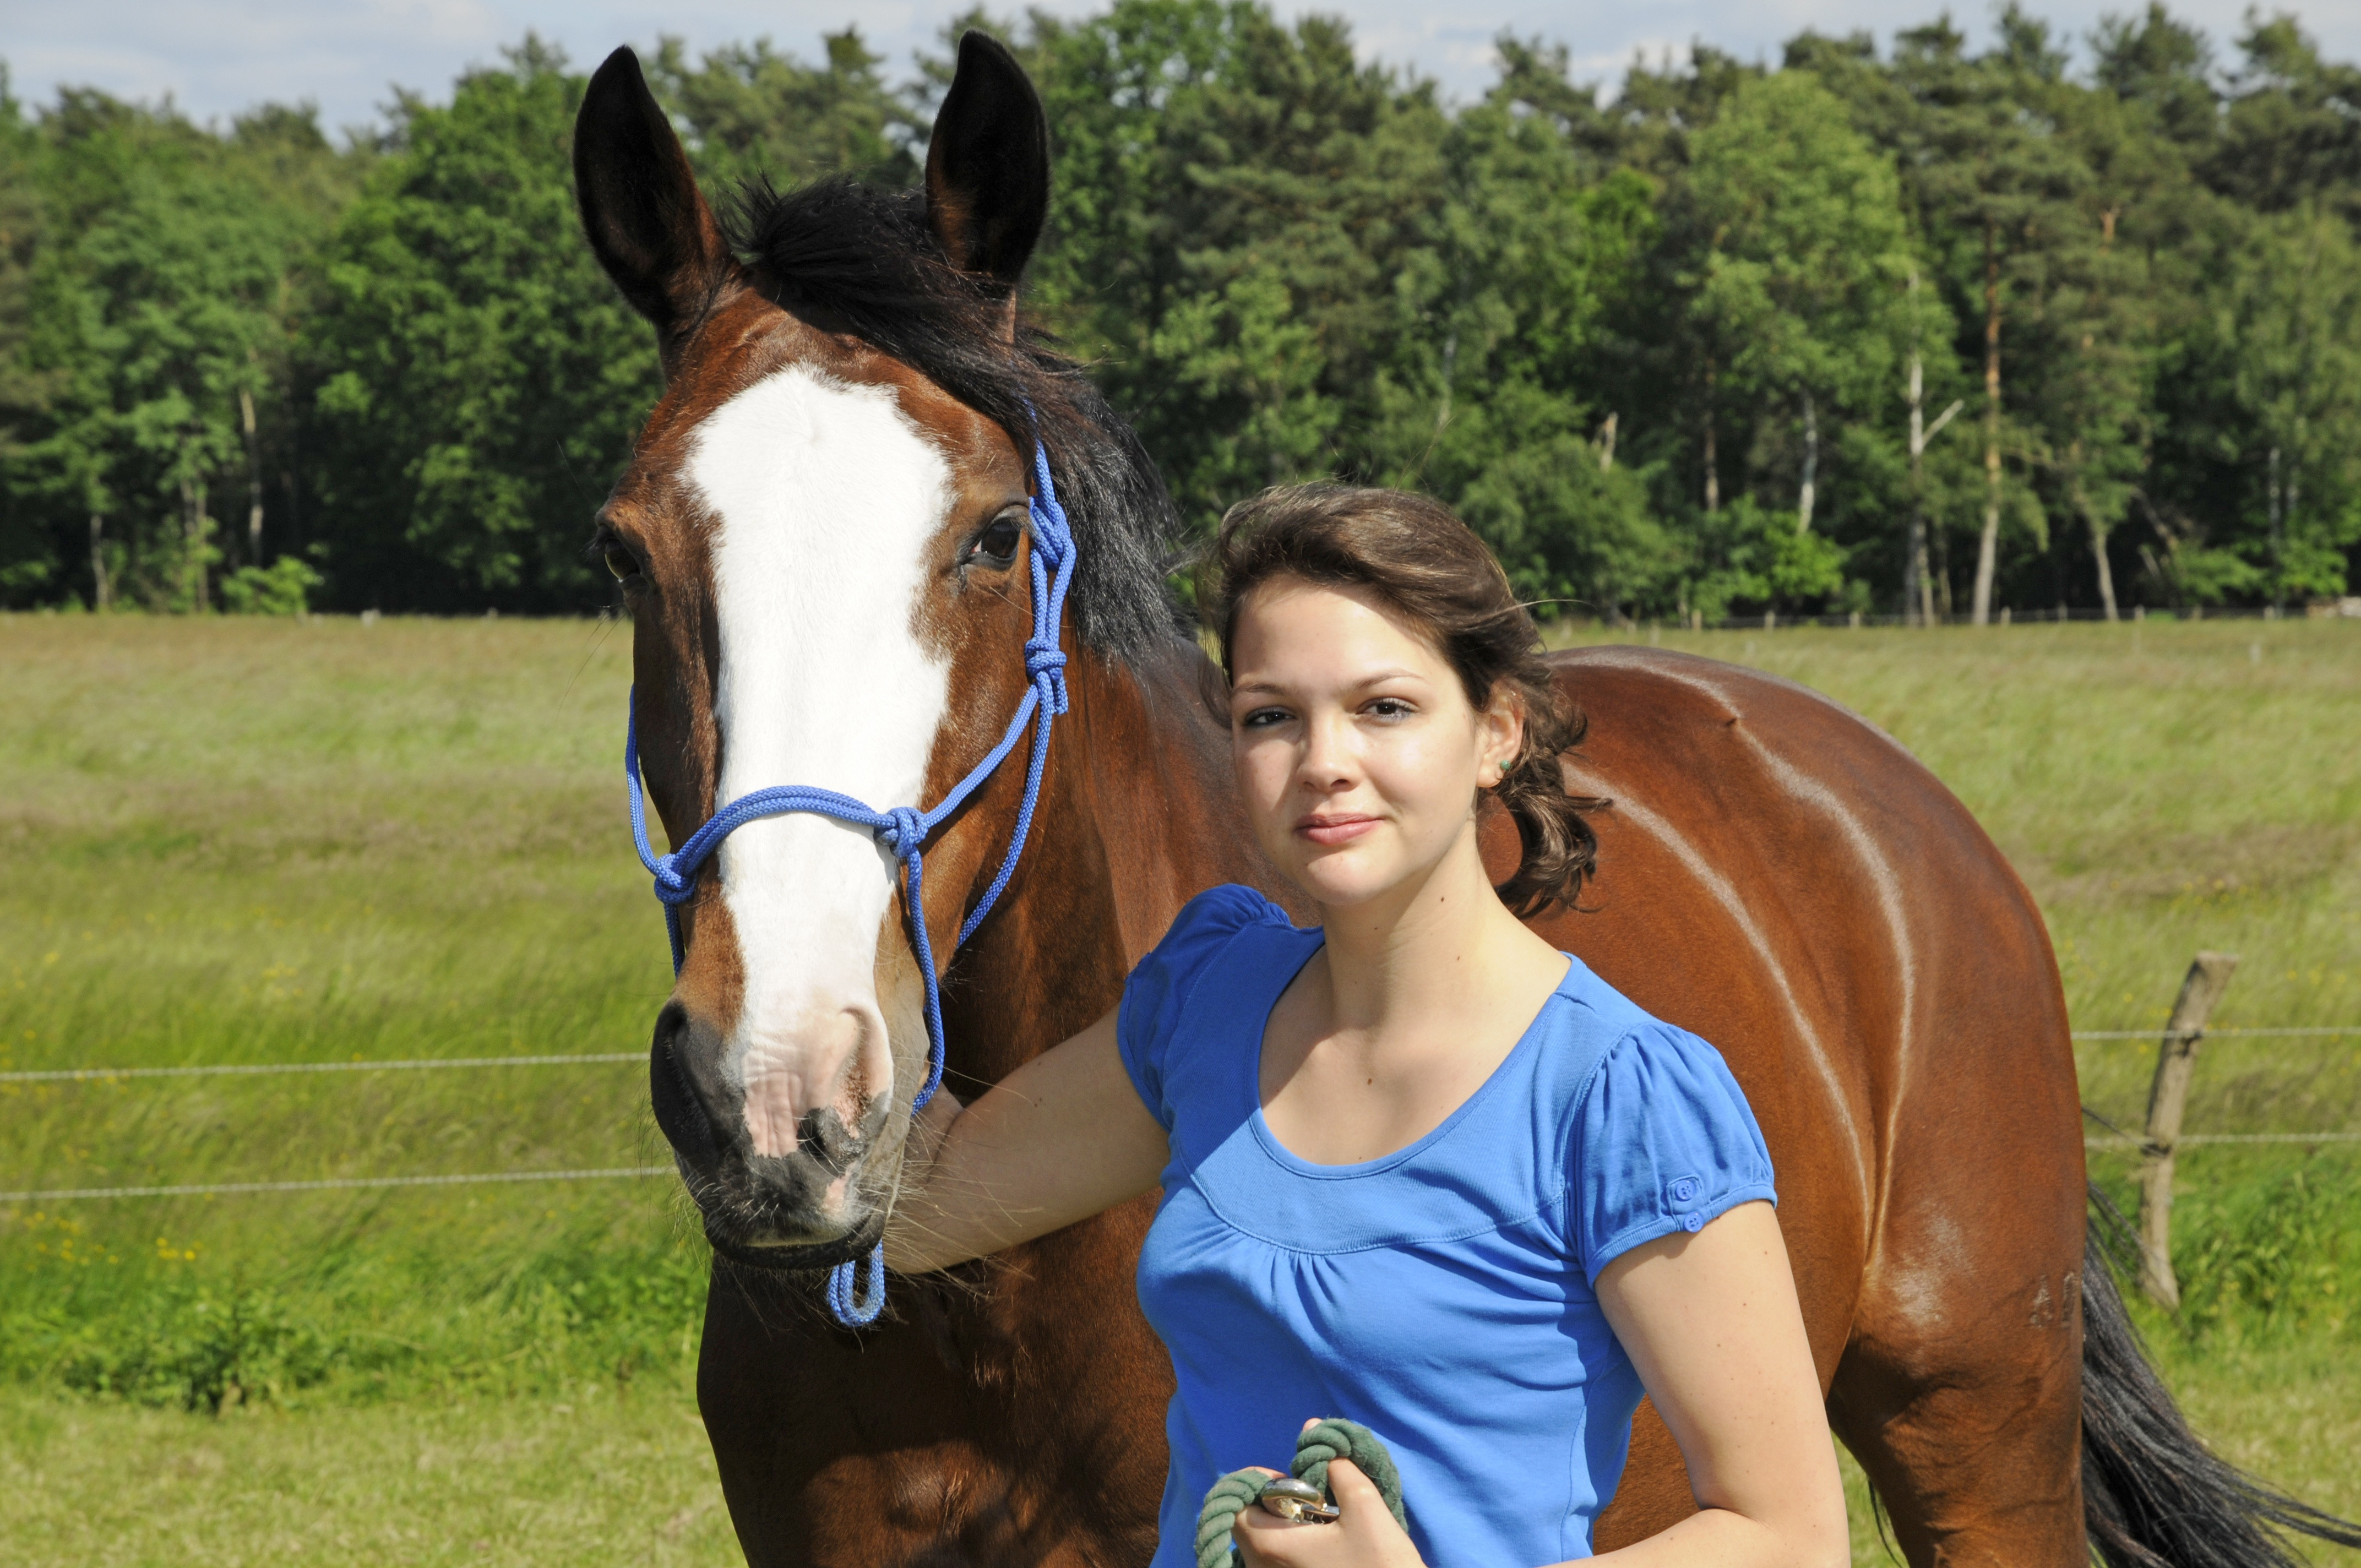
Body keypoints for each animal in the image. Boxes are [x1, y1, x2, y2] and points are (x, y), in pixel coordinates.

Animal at [570, 32, 2357, 1568]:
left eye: (995, 535)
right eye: (625, 550)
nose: (782, 1095)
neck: (999, 1302)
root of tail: (1889, 807)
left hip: (1973, 1428)